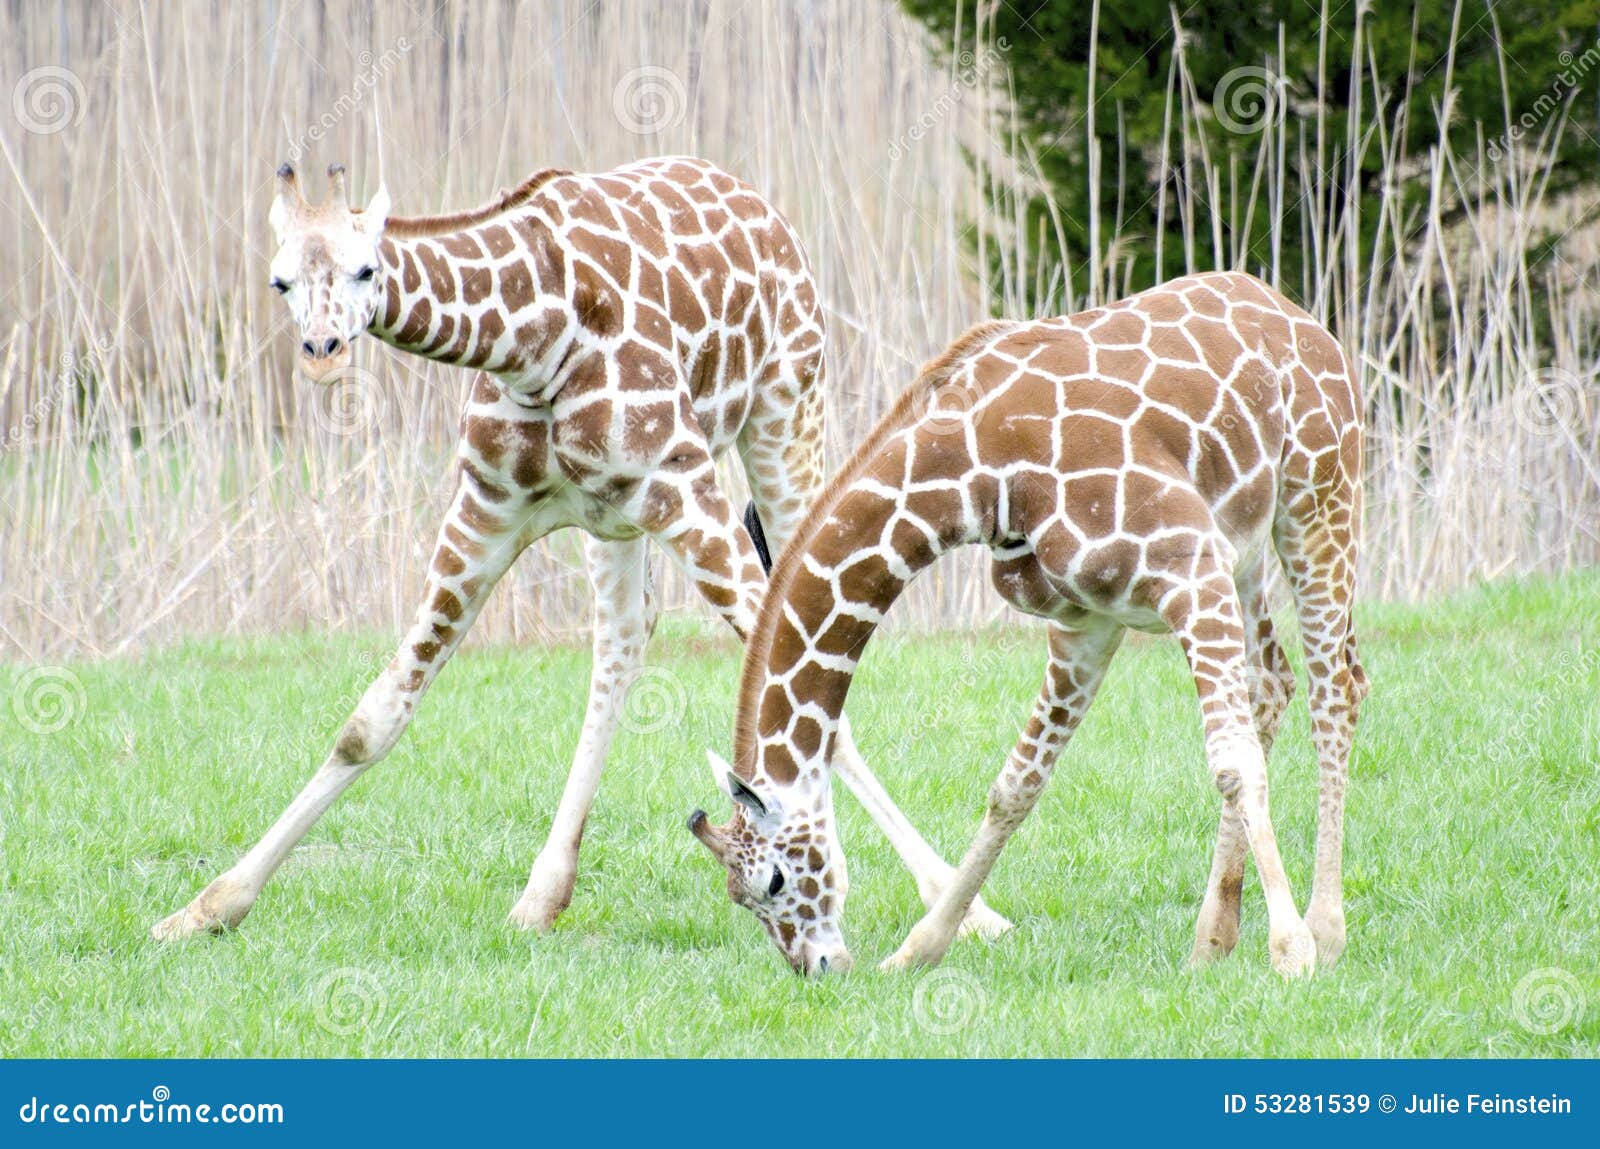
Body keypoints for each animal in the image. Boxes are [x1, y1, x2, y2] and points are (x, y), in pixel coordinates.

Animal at [151, 156, 1012, 942]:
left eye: (367, 267)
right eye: (280, 282)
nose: (323, 351)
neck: (531, 342)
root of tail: (758, 203)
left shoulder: (683, 483)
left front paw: (963, 908)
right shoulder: (487, 511)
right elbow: (375, 716)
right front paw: (208, 905)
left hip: (785, 418)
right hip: (615, 522)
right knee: (623, 643)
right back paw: (542, 893)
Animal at [689, 271, 1368, 977]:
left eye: (772, 880)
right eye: (739, 898)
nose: (817, 967)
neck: (977, 474)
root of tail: (1300, 316)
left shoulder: (1186, 562)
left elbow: (1232, 762)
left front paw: (1291, 951)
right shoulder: (1086, 622)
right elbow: (1015, 786)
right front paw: (921, 948)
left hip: (1319, 499)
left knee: (1335, 690)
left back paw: (1325, 929)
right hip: (1246, 545)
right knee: (1275, 682)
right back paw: (1212, 937)